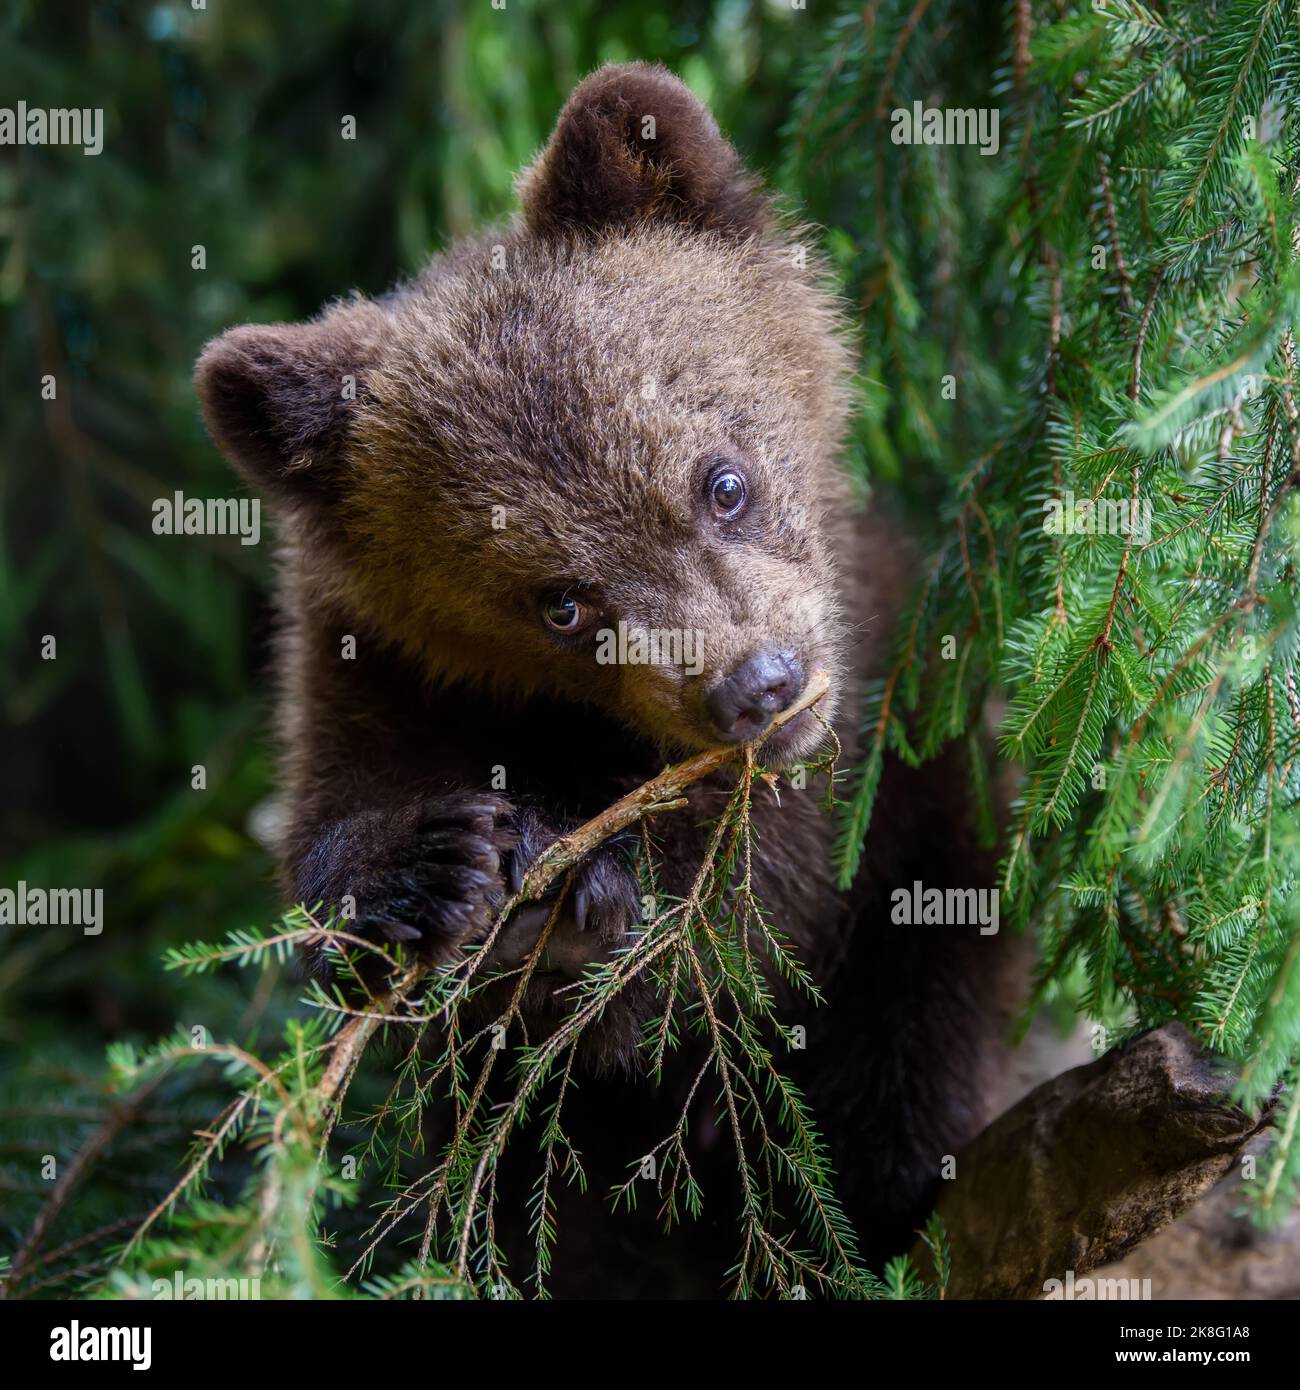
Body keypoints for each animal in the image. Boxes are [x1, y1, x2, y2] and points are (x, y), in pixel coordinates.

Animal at [195, 62, 1007, 1296]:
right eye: (559, 601)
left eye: (721, 479)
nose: (755, 687)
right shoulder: (373, 666)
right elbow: (341, 818)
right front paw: (434, 869)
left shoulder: (873, 758)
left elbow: (738, 919)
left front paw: (573, 892)